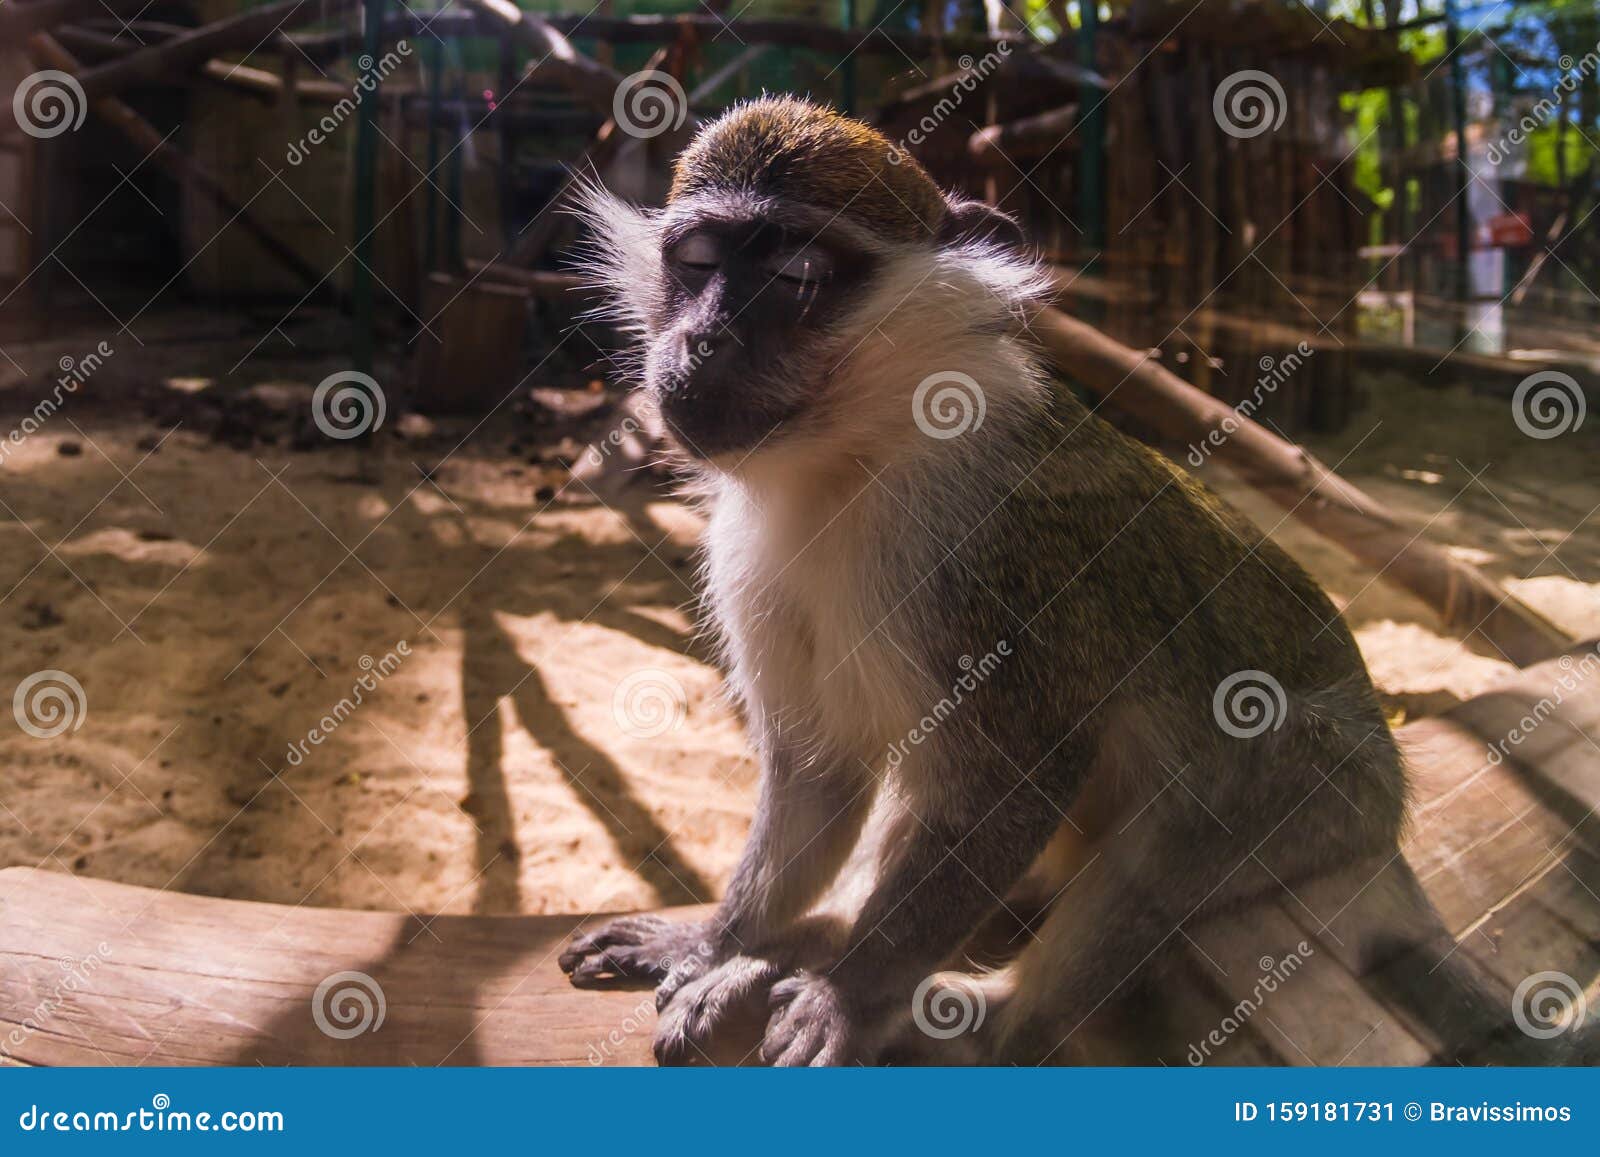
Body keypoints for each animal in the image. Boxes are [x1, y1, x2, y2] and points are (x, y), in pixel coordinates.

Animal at [558, 96, 1590, 1067]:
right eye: (698, 262)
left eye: (796, 278)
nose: (702, 341)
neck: (847, 462)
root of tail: (1388, 826)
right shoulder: (751, 554)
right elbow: (818, 772)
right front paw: (720, 940)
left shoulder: (992, 557)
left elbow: (1021, 773)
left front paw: (849, 995)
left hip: (1331, 798)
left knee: (1190, 813)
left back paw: (981, 1019)